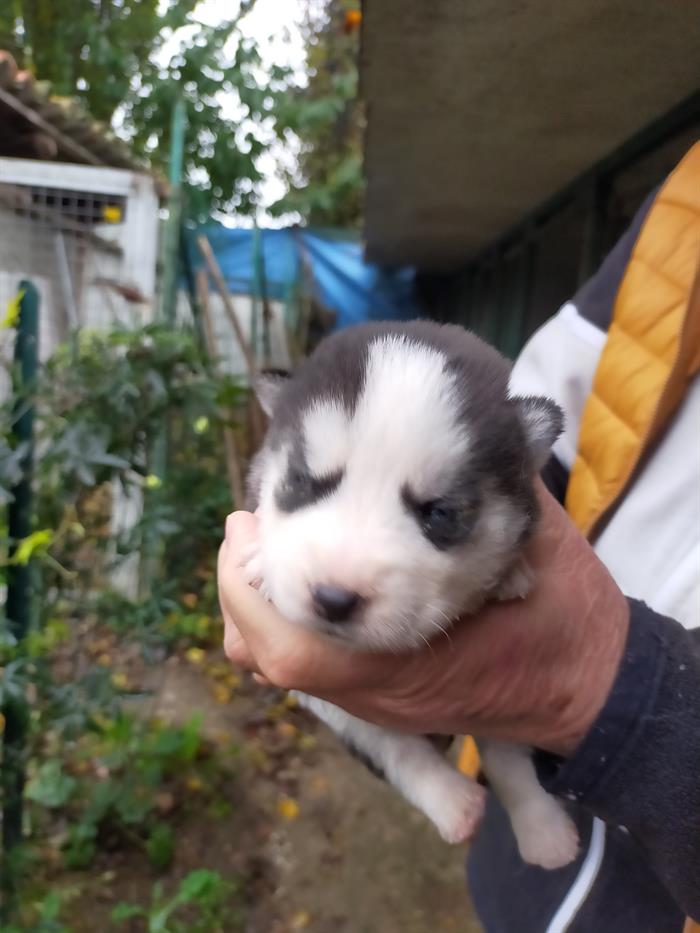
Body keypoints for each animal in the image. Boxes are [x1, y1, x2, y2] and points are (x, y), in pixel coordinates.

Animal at [245, 322, 580, 872]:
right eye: (304, 483)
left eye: (438, 513)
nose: (333, 598)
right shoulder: (325, 701)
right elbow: (392, 744)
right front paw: (453, 801)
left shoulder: (508, 701)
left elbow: (509, 758)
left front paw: (544, 831)